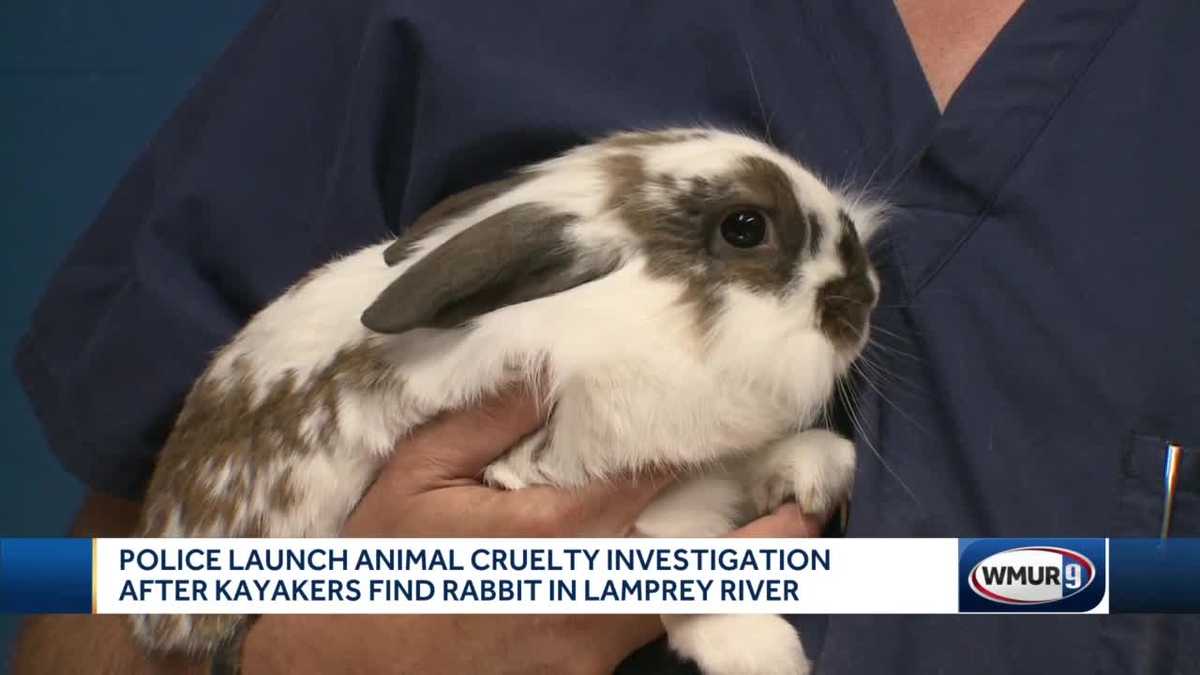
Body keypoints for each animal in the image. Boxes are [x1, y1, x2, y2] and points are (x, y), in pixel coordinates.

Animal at [132, 127, 882, 675]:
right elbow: (675, 555)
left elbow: (743, 470)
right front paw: (763, 652)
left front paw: (817, 468)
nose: (867, 295)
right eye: (745, 227)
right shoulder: (551, 481)